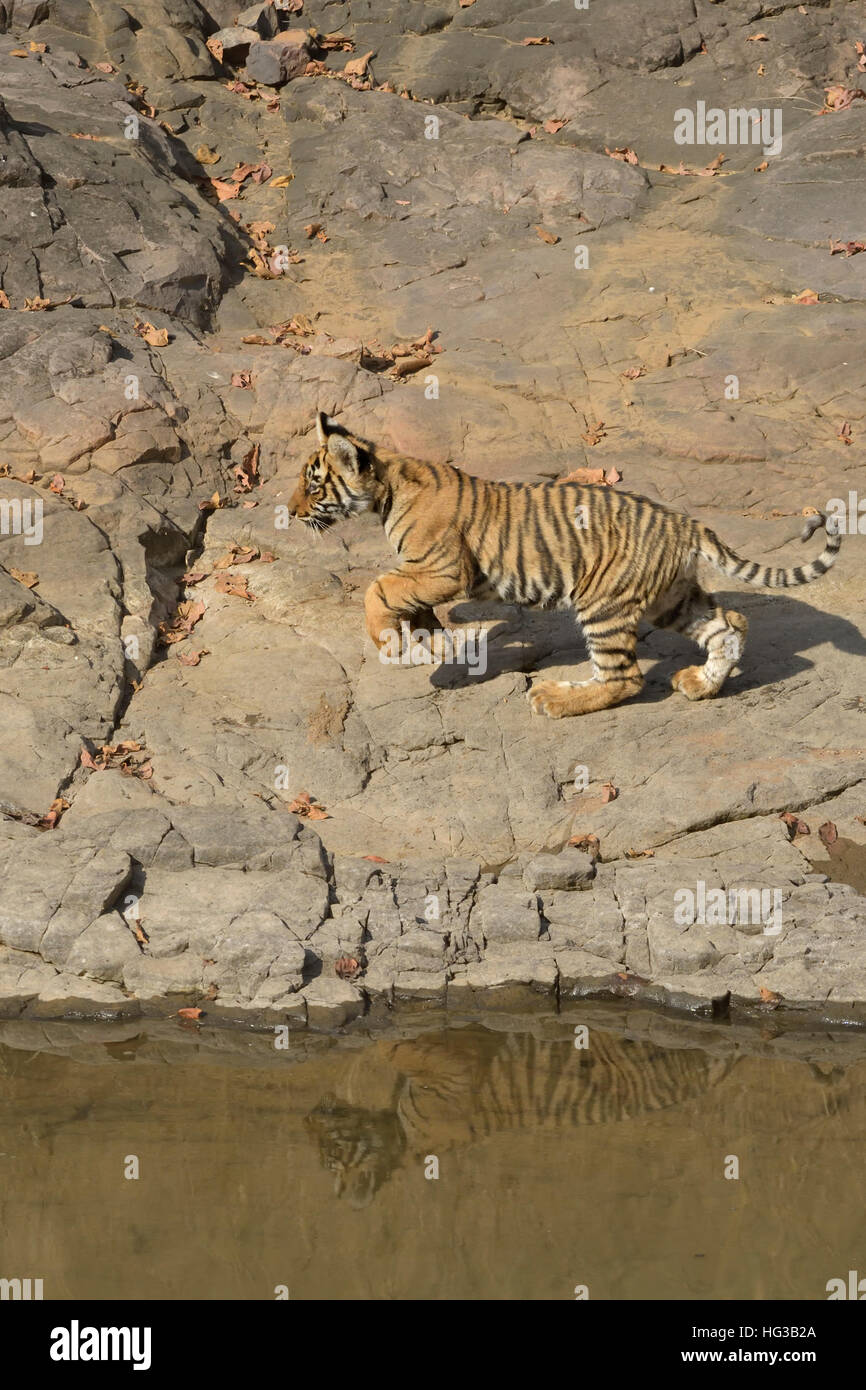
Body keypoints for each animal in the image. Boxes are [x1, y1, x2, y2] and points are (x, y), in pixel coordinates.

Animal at [289, 411, 842, 718]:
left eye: (314, 485)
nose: (290, 512)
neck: (387, 486)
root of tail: (685, 524)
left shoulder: (444, 570)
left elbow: (378, 589)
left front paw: (388, 640)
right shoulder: (427, 576)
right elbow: (412, 604)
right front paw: (428, 643)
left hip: (604, 602)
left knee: (625, 679)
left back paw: (553, 699)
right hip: (671, 599)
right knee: (731, 622)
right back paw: (701, 685)